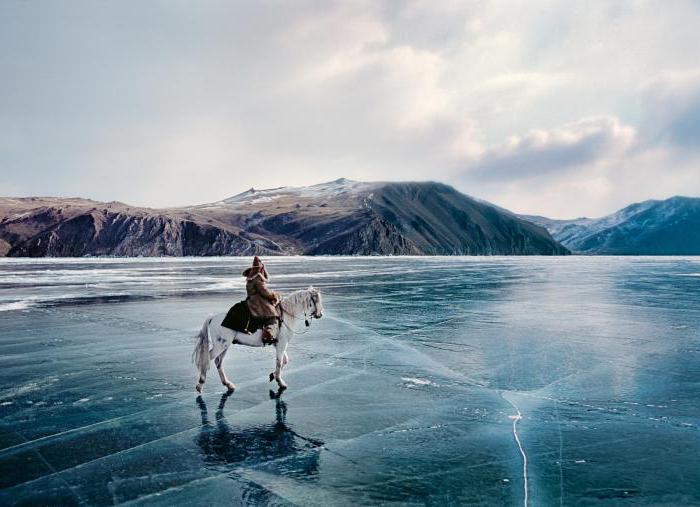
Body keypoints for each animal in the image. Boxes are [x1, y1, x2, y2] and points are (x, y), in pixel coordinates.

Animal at [191, 290, 322, 392]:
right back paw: (200, 385)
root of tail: (212, 317)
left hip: (225, 346)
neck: (285, 316)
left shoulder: (279, 344)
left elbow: (284, 360)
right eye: (316, 301)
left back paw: (228, 385)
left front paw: (273, 375)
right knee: (207, 358)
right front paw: (281, 382)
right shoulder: (282, 344)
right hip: (220, 345)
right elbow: (279, 362)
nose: (320, 314)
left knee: (218, 362)